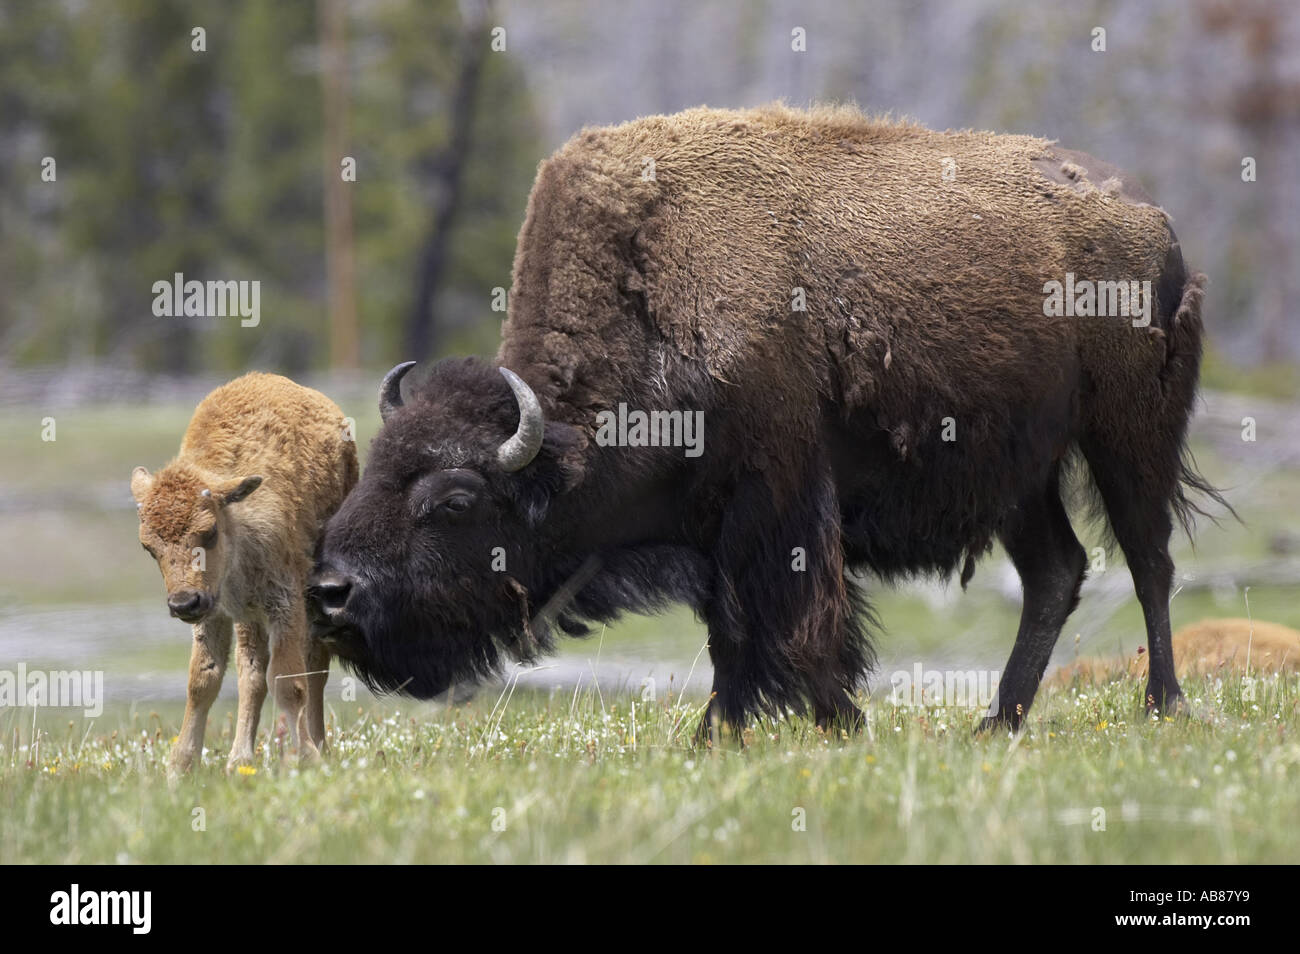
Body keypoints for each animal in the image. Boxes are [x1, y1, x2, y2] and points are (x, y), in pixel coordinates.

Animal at [132, 373, 357, 773]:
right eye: (148, 547)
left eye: (208, 531)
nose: (183, 603)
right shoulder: (217, 613)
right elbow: (203, 681)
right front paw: (180, 766)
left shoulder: (286, 603)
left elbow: (288, 680)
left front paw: (308, 756)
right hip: (247, 620)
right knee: (252, 675)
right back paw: (240, 758)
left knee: (314, 667)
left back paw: (317, 743)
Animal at [307, 104, 1227, 737]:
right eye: (376, 466)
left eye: (454, 502)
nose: (331, 592)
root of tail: (1156, 224)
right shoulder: (716, 533)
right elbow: (732, 632)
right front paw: (742, 730)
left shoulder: (777, 501)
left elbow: (788, 623)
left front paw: (809, 724)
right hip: (1017, 475)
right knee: (1056, 573)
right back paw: (996, 723)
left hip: (1128, 436)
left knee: (1148, 561)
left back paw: (1163, 706)